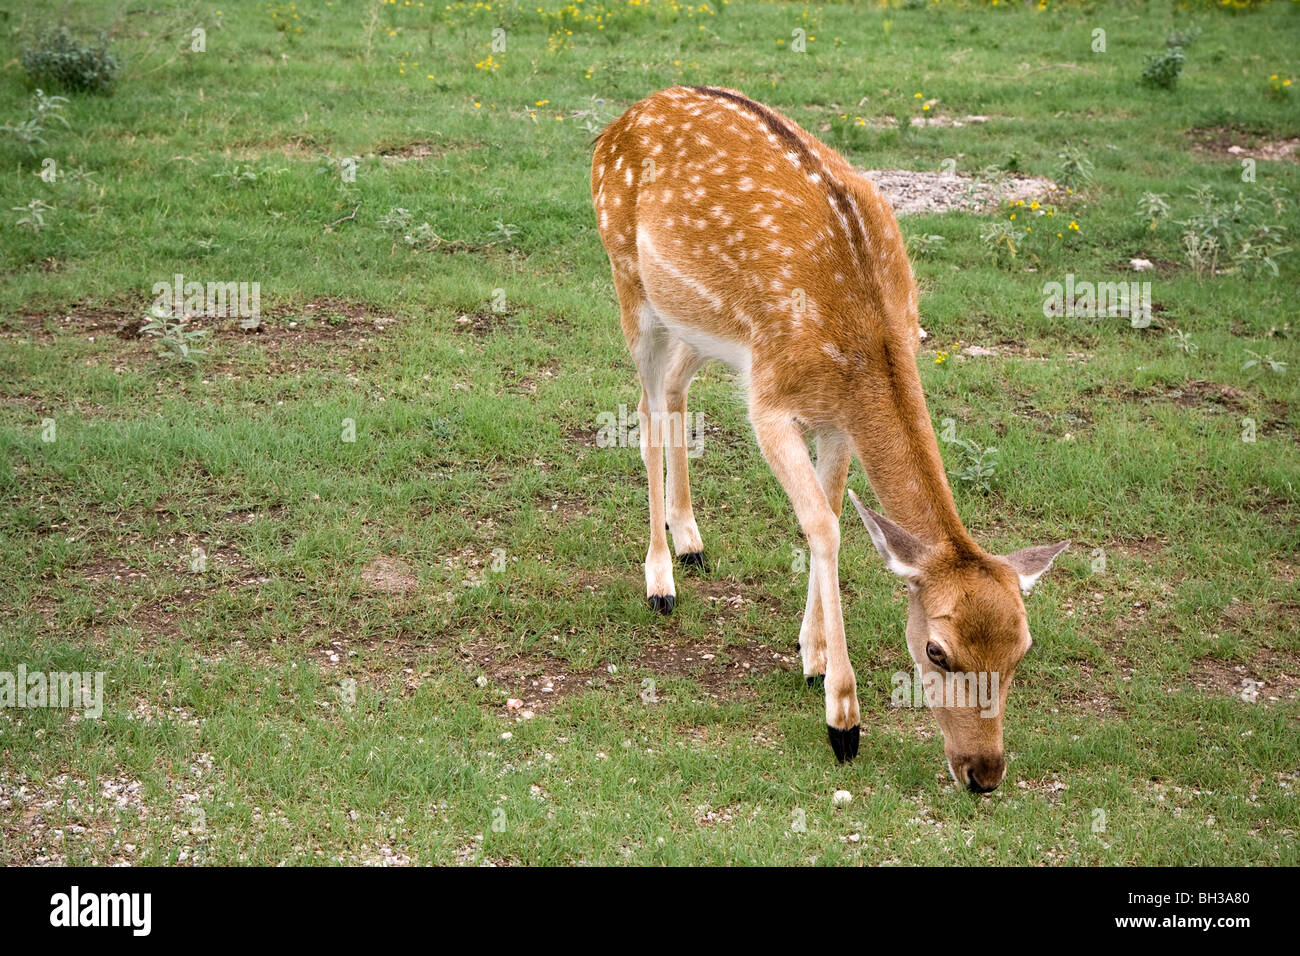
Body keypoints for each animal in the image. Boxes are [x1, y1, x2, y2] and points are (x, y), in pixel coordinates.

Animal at [590, 86, 1069, 793]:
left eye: (1023, 650)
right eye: (937, 651)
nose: (983, 773)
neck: (865, 339)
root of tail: (617, 122)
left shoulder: (838, 419)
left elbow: (835, 510)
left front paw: (810, 653)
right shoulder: (770, 402)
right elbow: (823, 525)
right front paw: (842, 717)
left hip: (697, 324)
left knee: (674, 391)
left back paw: (692, 541)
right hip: (631, 282)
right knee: (647, 414)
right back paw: (660, 580)